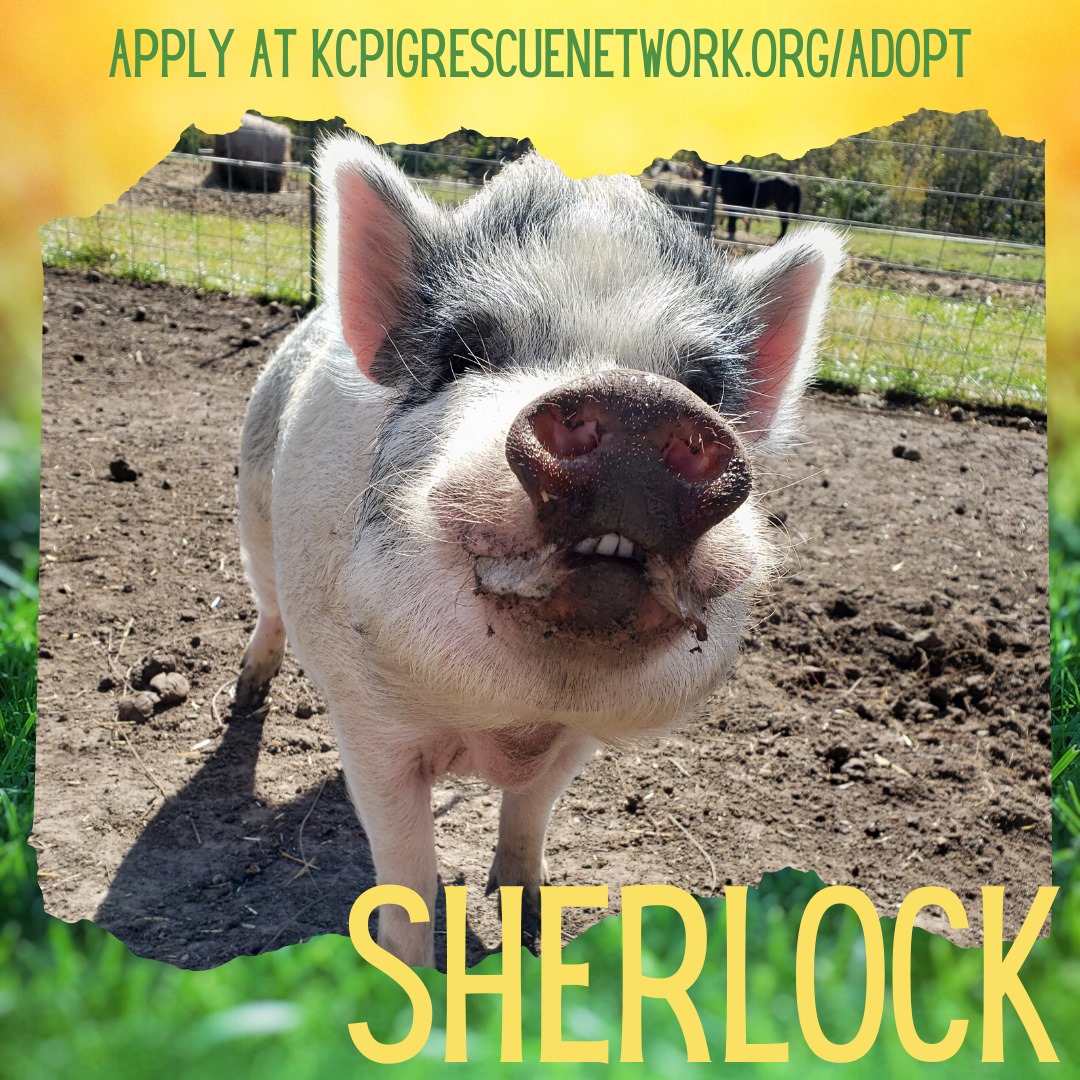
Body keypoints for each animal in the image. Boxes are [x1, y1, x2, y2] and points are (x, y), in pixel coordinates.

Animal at [235, 134, 843, 968]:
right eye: (461, 356)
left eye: (707, 387)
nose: (636, 401)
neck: (515, 722)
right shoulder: (369, 727)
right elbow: (408, 875)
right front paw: (412, 970)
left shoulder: (573, 743)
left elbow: (530, 817)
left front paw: (528, 927)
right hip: (253, 509)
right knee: (266, 608)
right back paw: (245, 697)